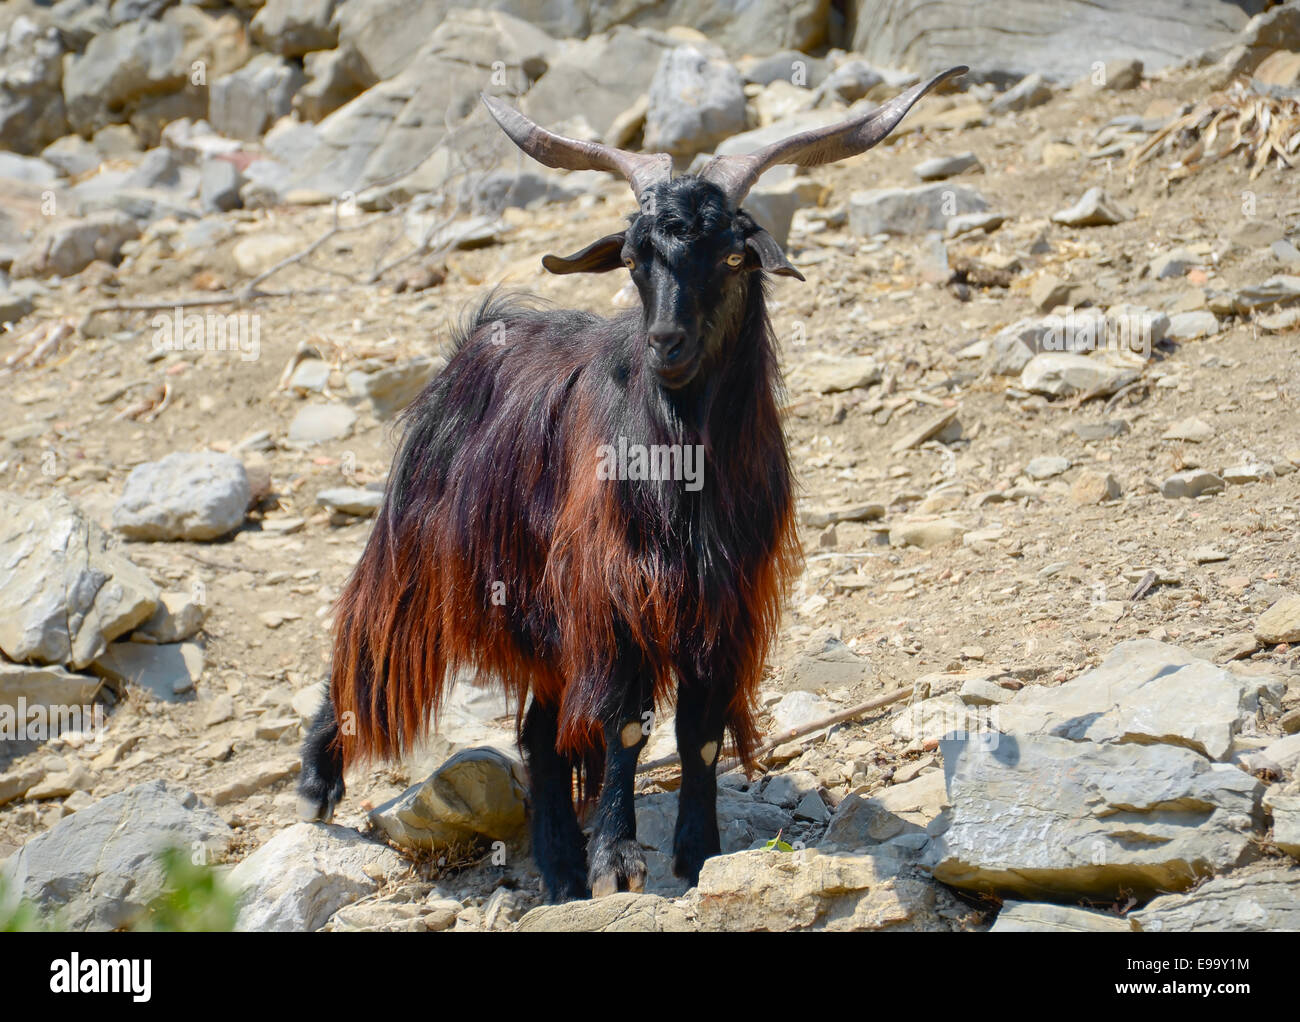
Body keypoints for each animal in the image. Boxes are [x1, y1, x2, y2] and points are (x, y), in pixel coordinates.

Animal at [298, 66, 966, 902]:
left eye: (734, 257)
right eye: (633, 258)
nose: (666, 344)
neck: (683, 468)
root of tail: (478, 340)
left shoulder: (721, 605)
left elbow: (700, 733)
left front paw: (698, 850)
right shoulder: (612, 593)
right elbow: (624, 722)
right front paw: (618, 859)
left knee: (539, 734)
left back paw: (558, 868)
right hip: (419, 557)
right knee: (362, 645)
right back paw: (318, 782)